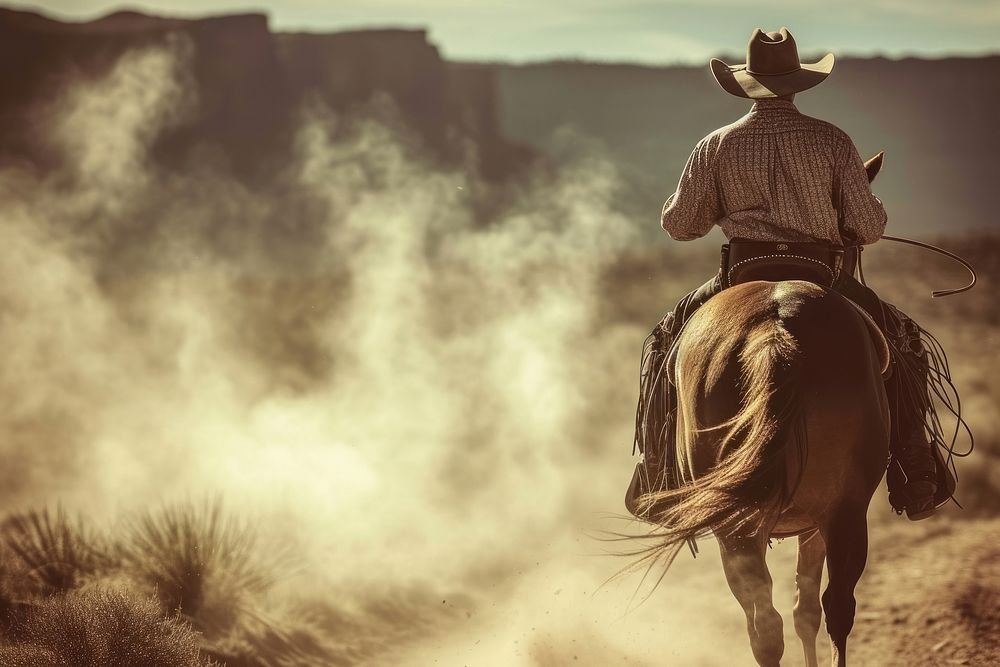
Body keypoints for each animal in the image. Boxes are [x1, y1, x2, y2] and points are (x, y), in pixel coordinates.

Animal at [639, 279, 890, 667]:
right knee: (826, 609)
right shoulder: (816, 524)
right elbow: (806, 609)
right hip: (841, 513)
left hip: (744, 525)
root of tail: (772, 331)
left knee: (769, 623)